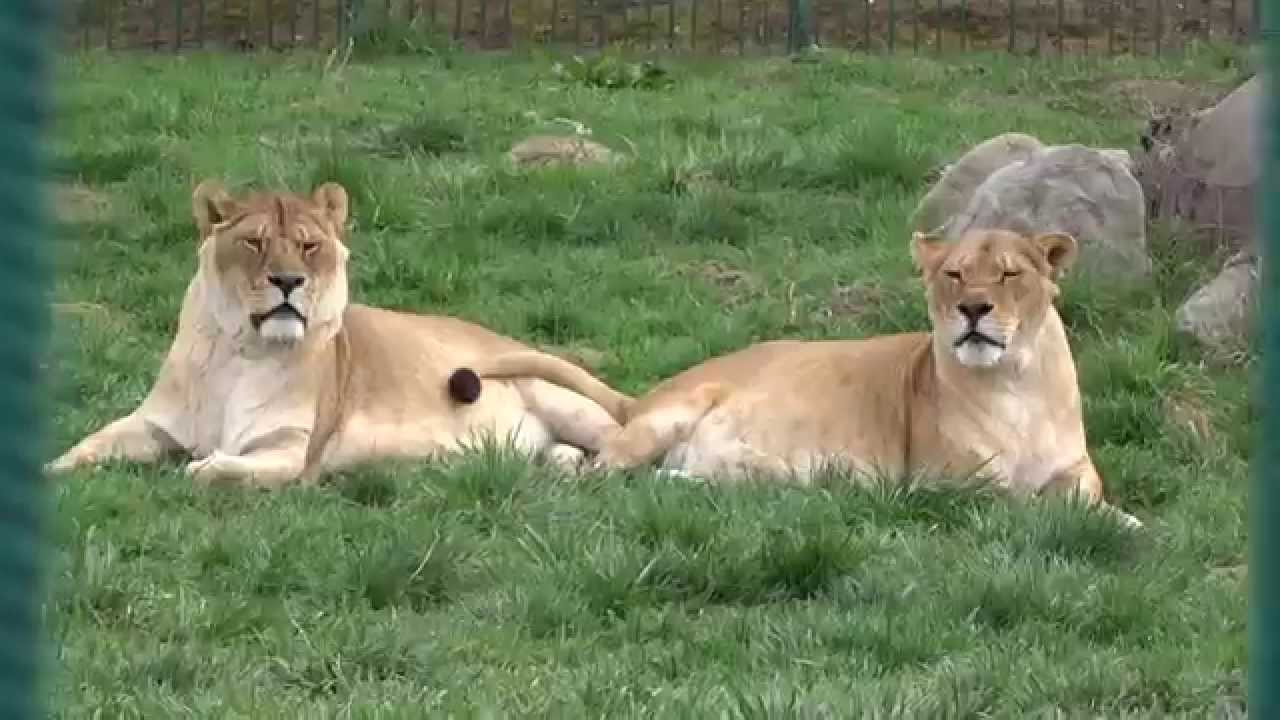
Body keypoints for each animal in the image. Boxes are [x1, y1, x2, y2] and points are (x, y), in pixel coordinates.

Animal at [45, 180, 634, 487]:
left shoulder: (294, 452)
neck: (241, 352)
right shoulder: (153, 425)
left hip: (557, 392)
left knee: (619, 434)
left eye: (309, 246)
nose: (288, 281)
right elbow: (90, 443)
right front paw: (54, 469)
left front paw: (202, 466)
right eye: (255, 243)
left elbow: (218, 470)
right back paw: (560, 467)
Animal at [476, 228, 1142, 528]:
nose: (972, 309)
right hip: (669, 418)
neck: (1014, 385)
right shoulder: (951, 487)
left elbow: (1089, 500)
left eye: (1007, 275)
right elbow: (1027, 506)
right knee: (600, 476)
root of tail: (644, 398)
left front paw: (1127, 524)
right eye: (953, 274)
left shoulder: (1075, 470)